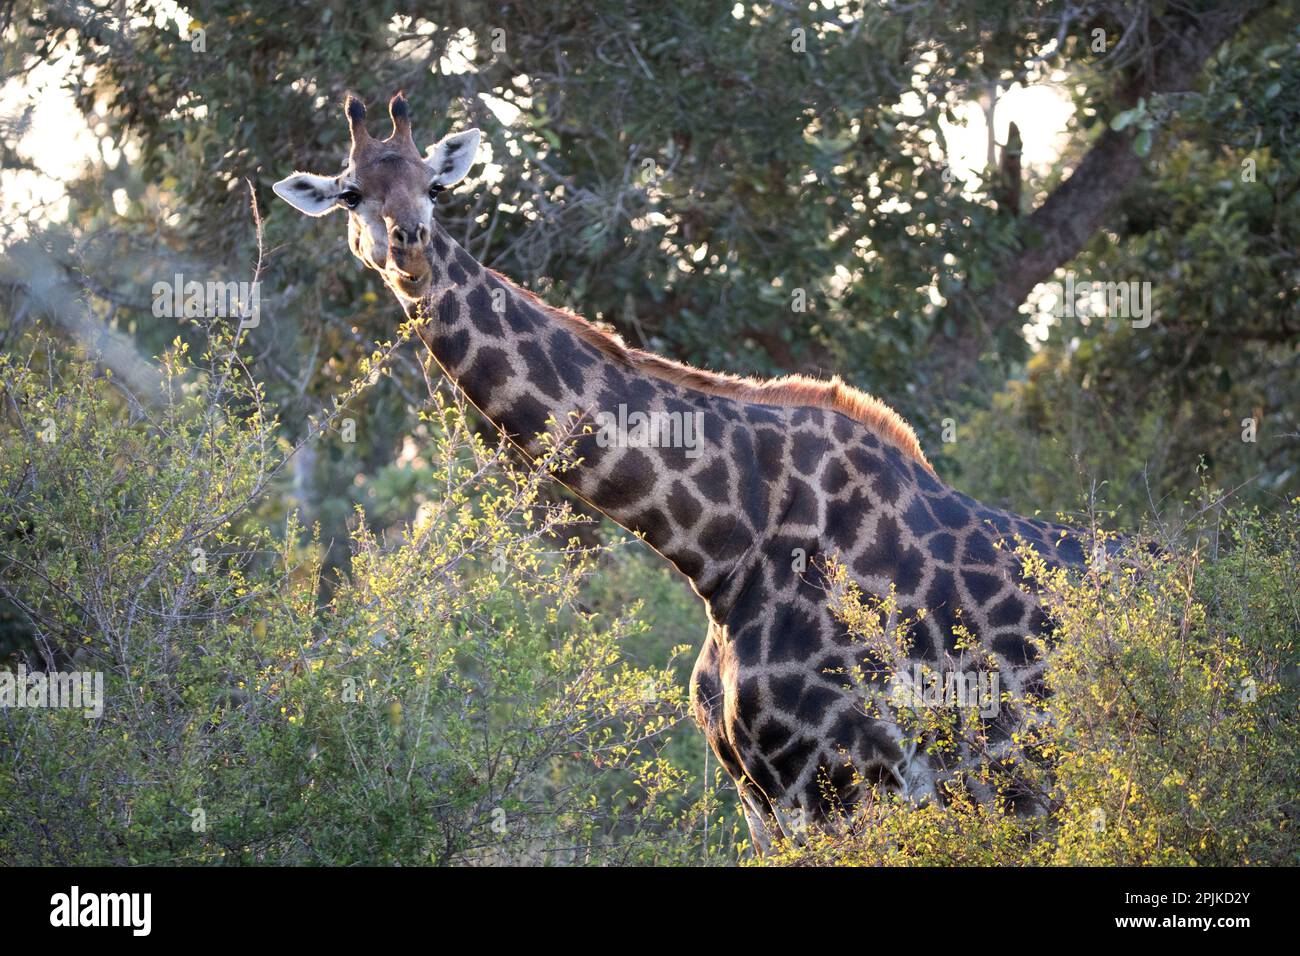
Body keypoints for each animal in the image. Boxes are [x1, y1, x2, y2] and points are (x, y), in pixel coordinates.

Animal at [273, 93, 1097, 854]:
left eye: (436, 187)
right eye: (351, 193)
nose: (409, 240)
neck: (721, 547)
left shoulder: (844, 786)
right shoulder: (763, 802)